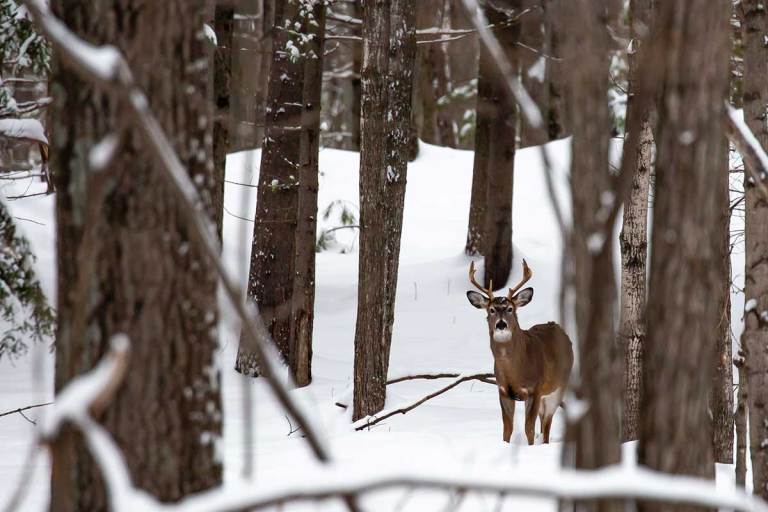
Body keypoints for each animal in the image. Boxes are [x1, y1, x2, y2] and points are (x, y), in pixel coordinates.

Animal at [466, 260, 573, 445]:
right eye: (491, 310)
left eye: (510, 308)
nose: (501, 325)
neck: (515, 371)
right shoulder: (503, 390)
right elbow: (507, 429)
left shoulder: (534, 389)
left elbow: (528, 429)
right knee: (543, 421)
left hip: (558, 386)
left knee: (547, 422)